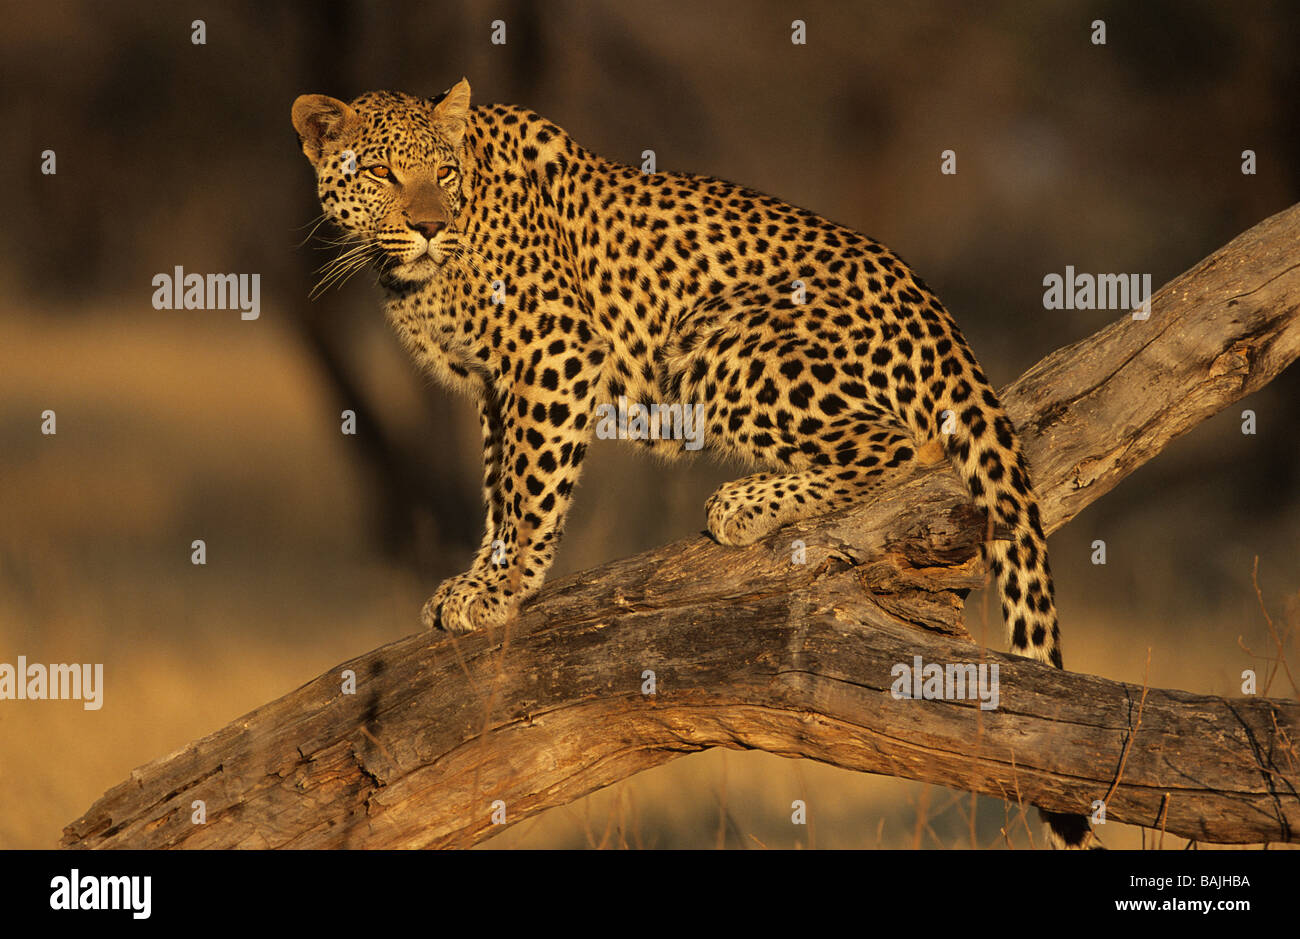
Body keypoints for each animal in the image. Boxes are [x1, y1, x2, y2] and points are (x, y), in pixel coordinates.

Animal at [292, 78, 1094, 849]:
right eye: (384, 174)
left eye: (445, 173)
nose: (433, 227)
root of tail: (943, 322)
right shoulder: (496, 385)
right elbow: (500, 490)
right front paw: (478, 575)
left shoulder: (554, 354)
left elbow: (532, 489)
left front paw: (502, 589)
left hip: (720, 335)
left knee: (904, 442)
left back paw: (743, 505)